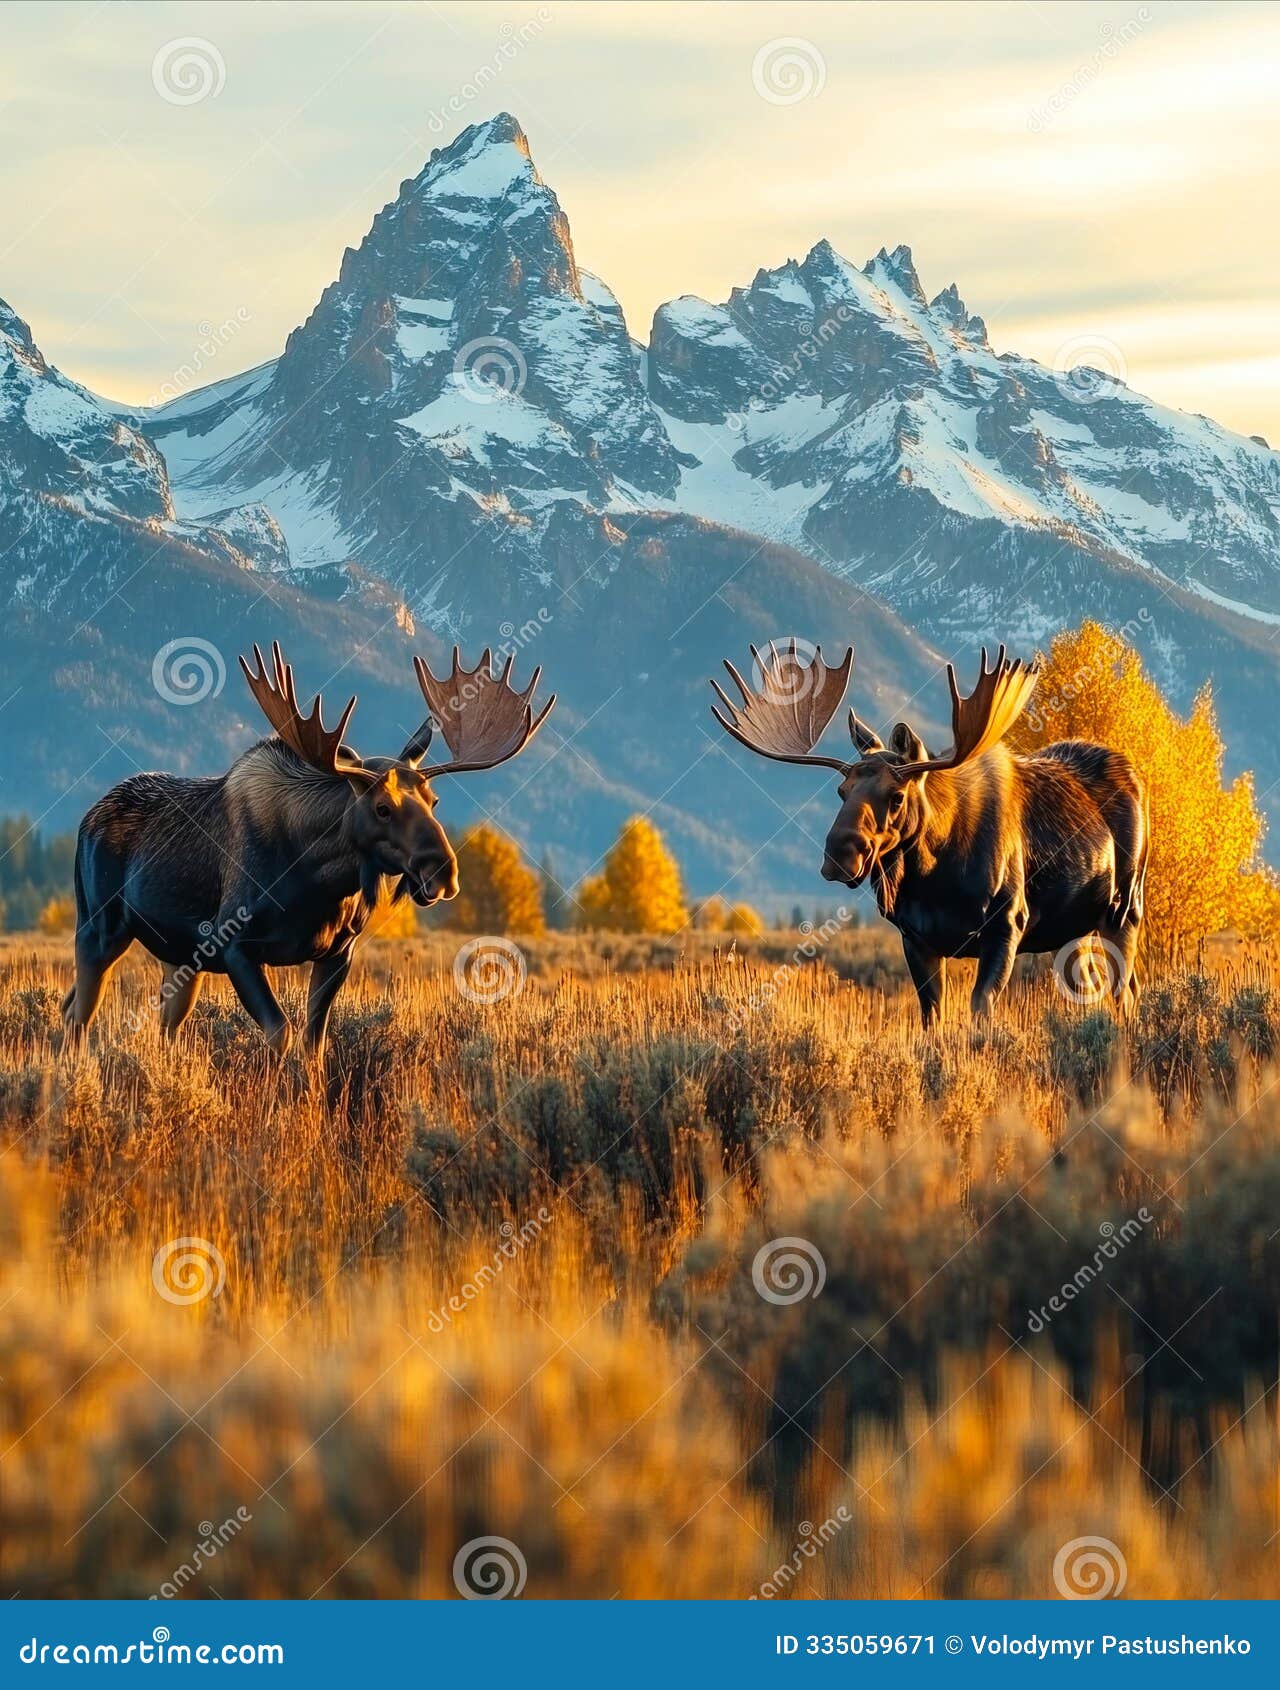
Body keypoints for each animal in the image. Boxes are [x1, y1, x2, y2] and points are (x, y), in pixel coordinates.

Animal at [62, 643, 554, 1059]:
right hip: (99, 927)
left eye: (433, 801)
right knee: (78, 1013)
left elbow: (313, 1043)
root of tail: (86, 818)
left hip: (178, 956)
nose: (443, 872)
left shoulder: (338, 952)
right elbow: (280, 1033)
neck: (318, 883)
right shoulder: (233, 944)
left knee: (152, 1020)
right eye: (382, 807)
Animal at [711, 641, 1147, 1026]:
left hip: (1123, 909)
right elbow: (931, 1014)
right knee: (1093, 985)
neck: (937, 877)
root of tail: (1134, 774)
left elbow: (980, 1008)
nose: (839, 856)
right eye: (841, 790)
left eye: (897, 795)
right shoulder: (915, 937)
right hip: (1074, 927)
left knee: (1125, 991)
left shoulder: (1007, 923)